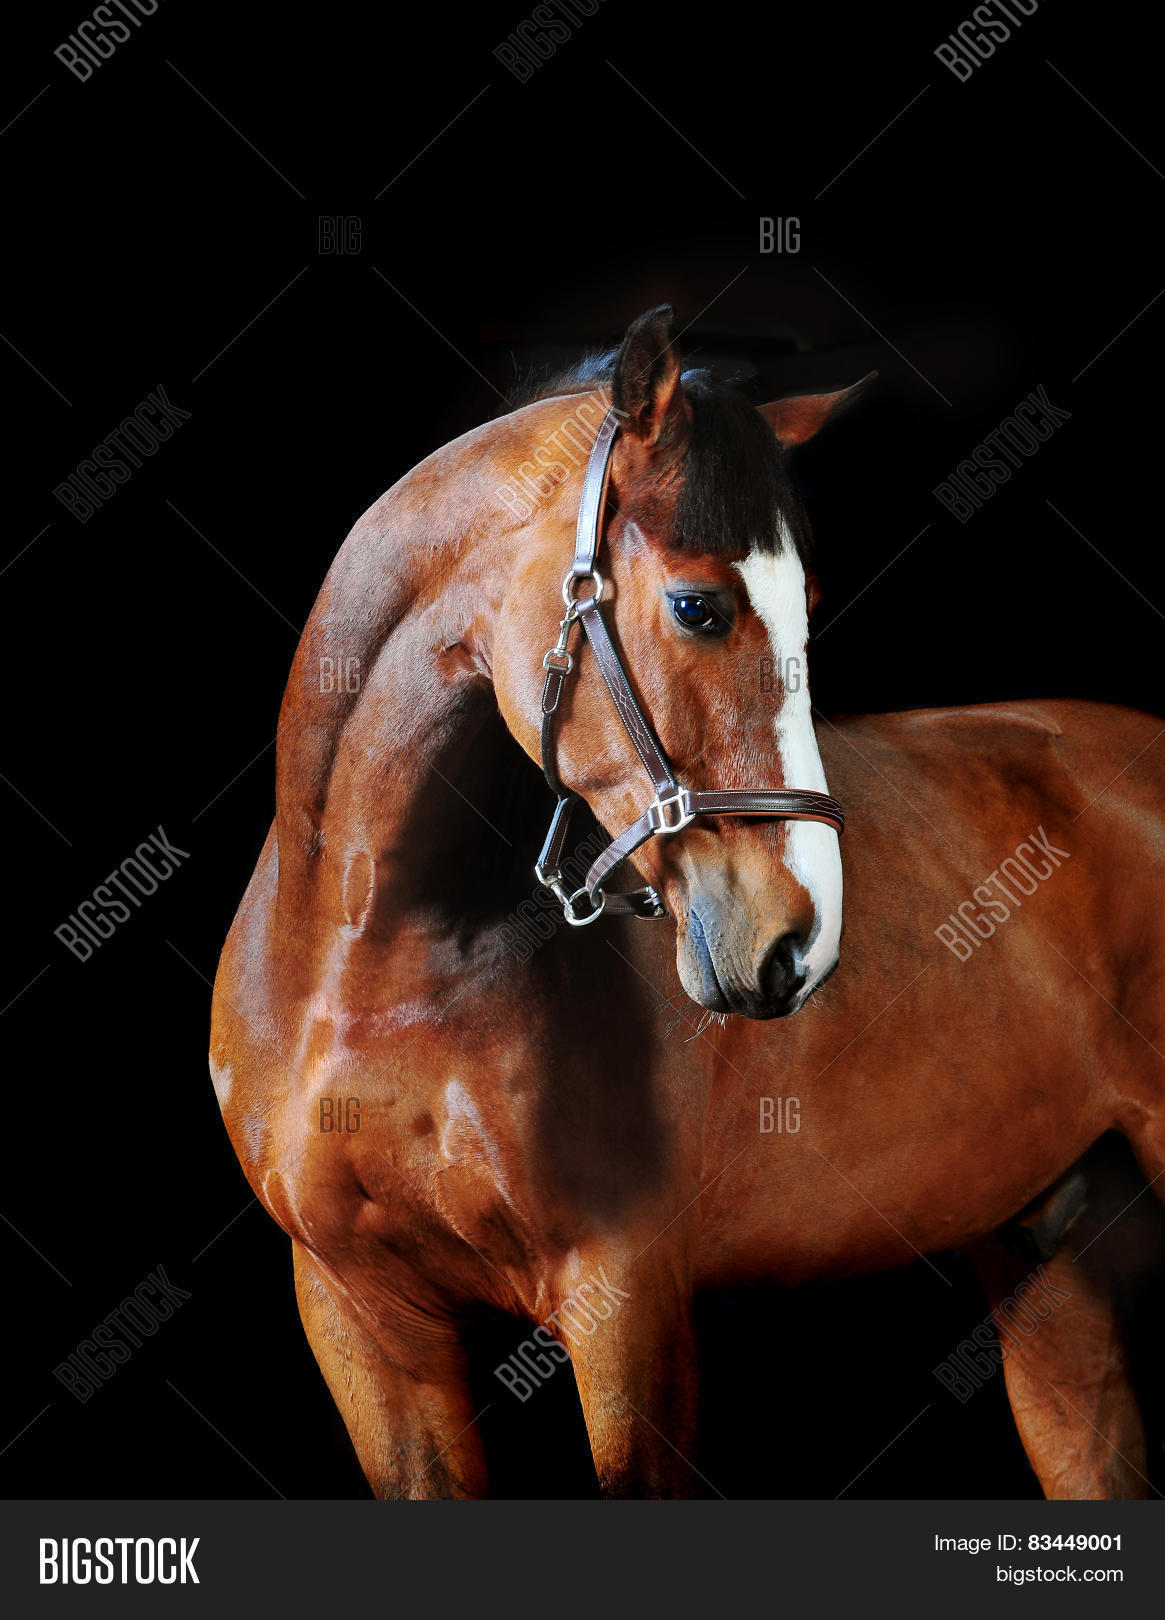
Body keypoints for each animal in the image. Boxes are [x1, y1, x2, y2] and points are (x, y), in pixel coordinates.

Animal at [210, 305, 1165, 1498]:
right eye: (696, 607)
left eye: (804, 610)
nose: (799, 943)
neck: (368, 958)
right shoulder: (358, 1315)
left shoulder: (626, 1303)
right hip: (1048, 1249)